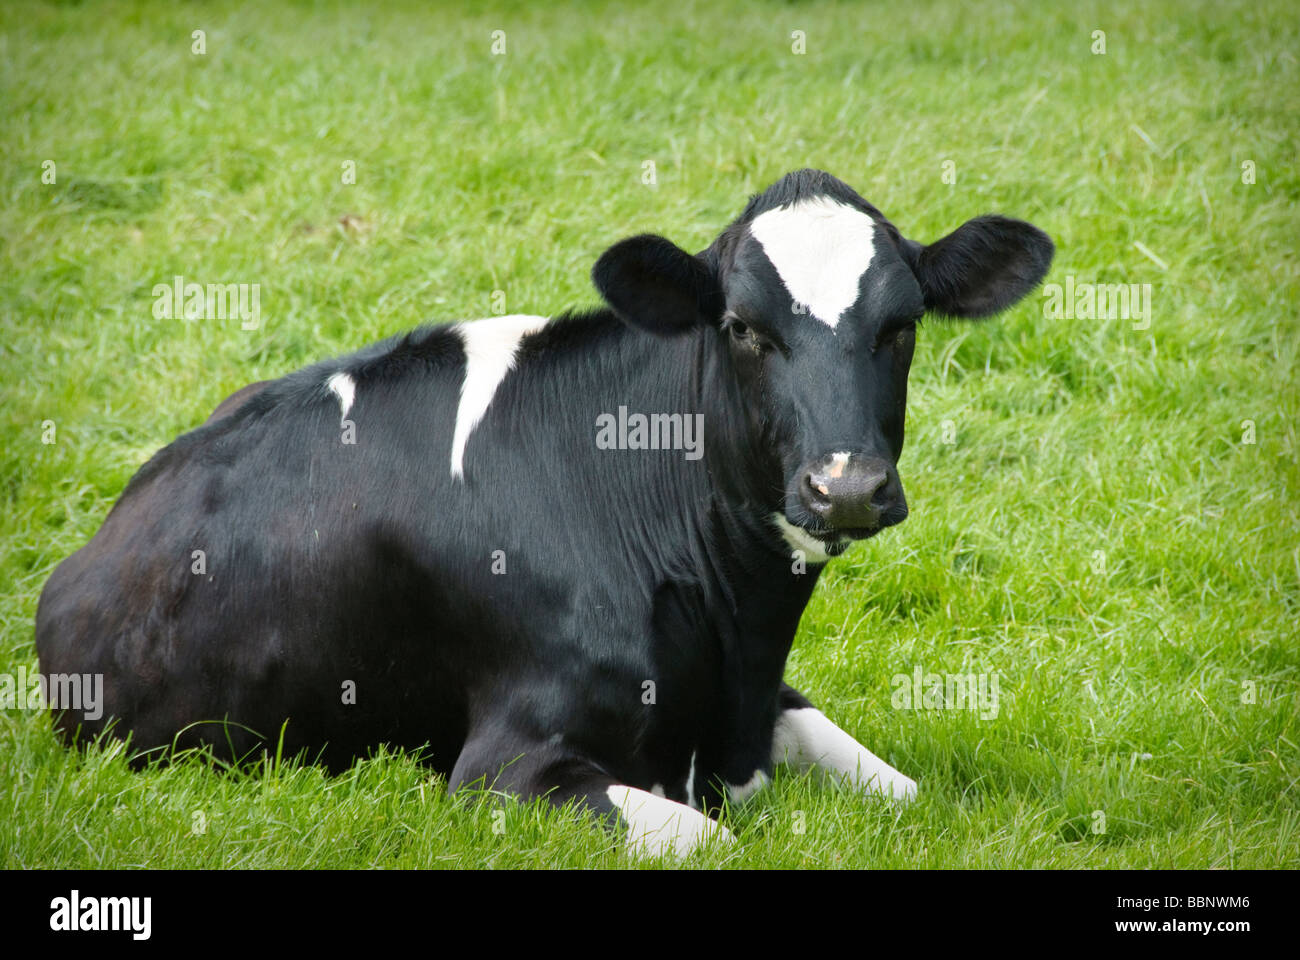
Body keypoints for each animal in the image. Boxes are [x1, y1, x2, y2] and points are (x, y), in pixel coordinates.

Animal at [35, 169, 1053, 857]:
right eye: (742, 328)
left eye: (902, 327)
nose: (844, 487)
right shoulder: (505, 768)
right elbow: (711, 840)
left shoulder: (769, 707)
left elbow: (910, 793)